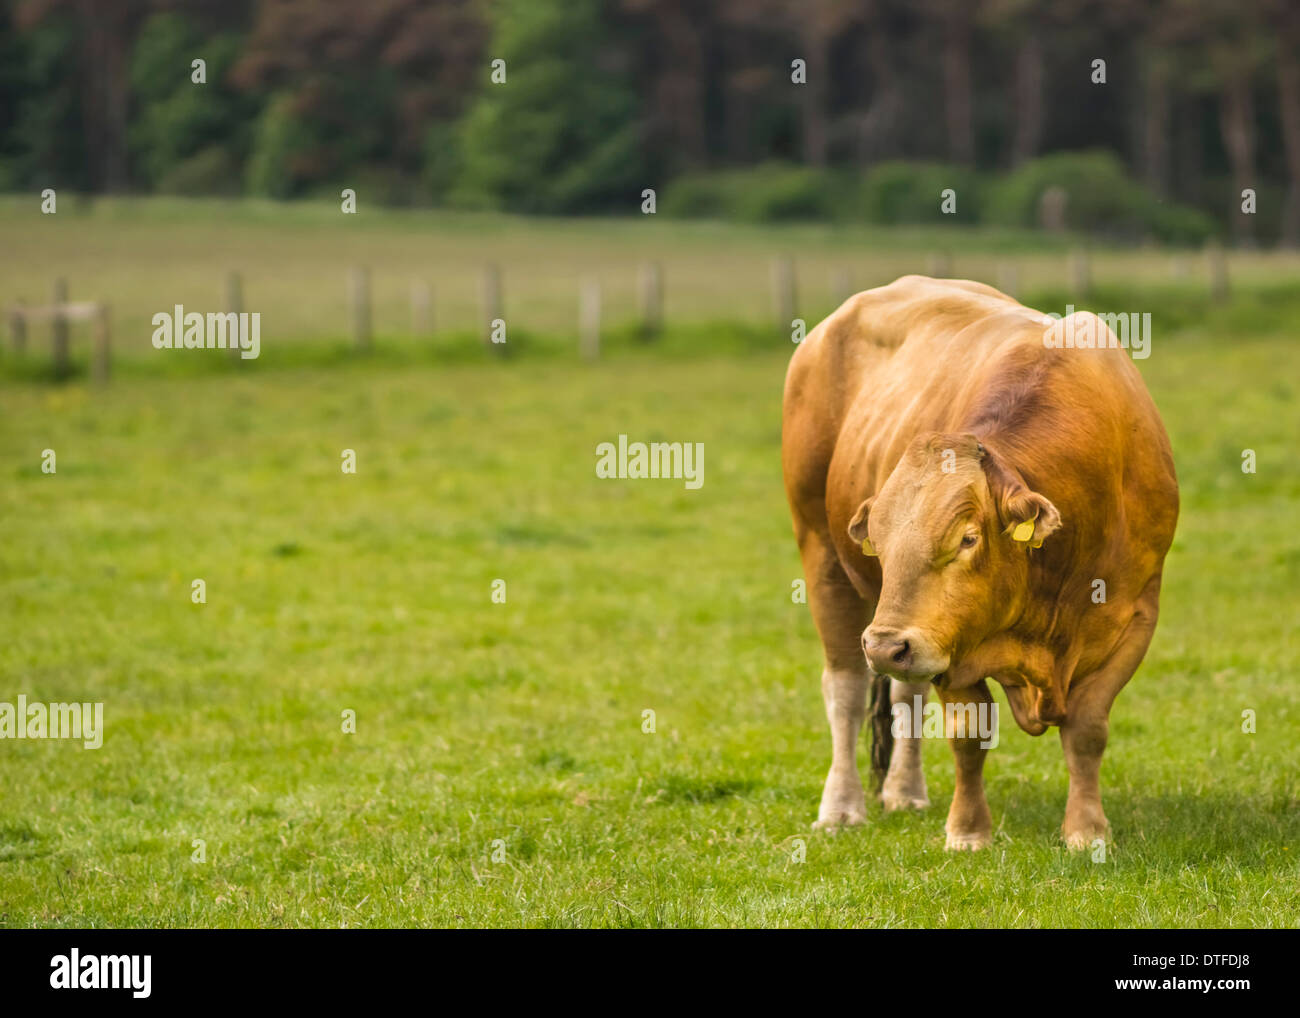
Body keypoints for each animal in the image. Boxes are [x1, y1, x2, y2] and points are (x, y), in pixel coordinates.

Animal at [781, 275, 1178, 850]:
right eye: (879, 539)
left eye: (967, 539)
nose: (884, 644)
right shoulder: (952, 641)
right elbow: (969, 735)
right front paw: (968, 831)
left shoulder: (1135, 618)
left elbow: (1087, 730)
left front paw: (1087, 831)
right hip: (826, 560)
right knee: (846, 690)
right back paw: (841, 806)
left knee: (906, 692)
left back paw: (905, 791)